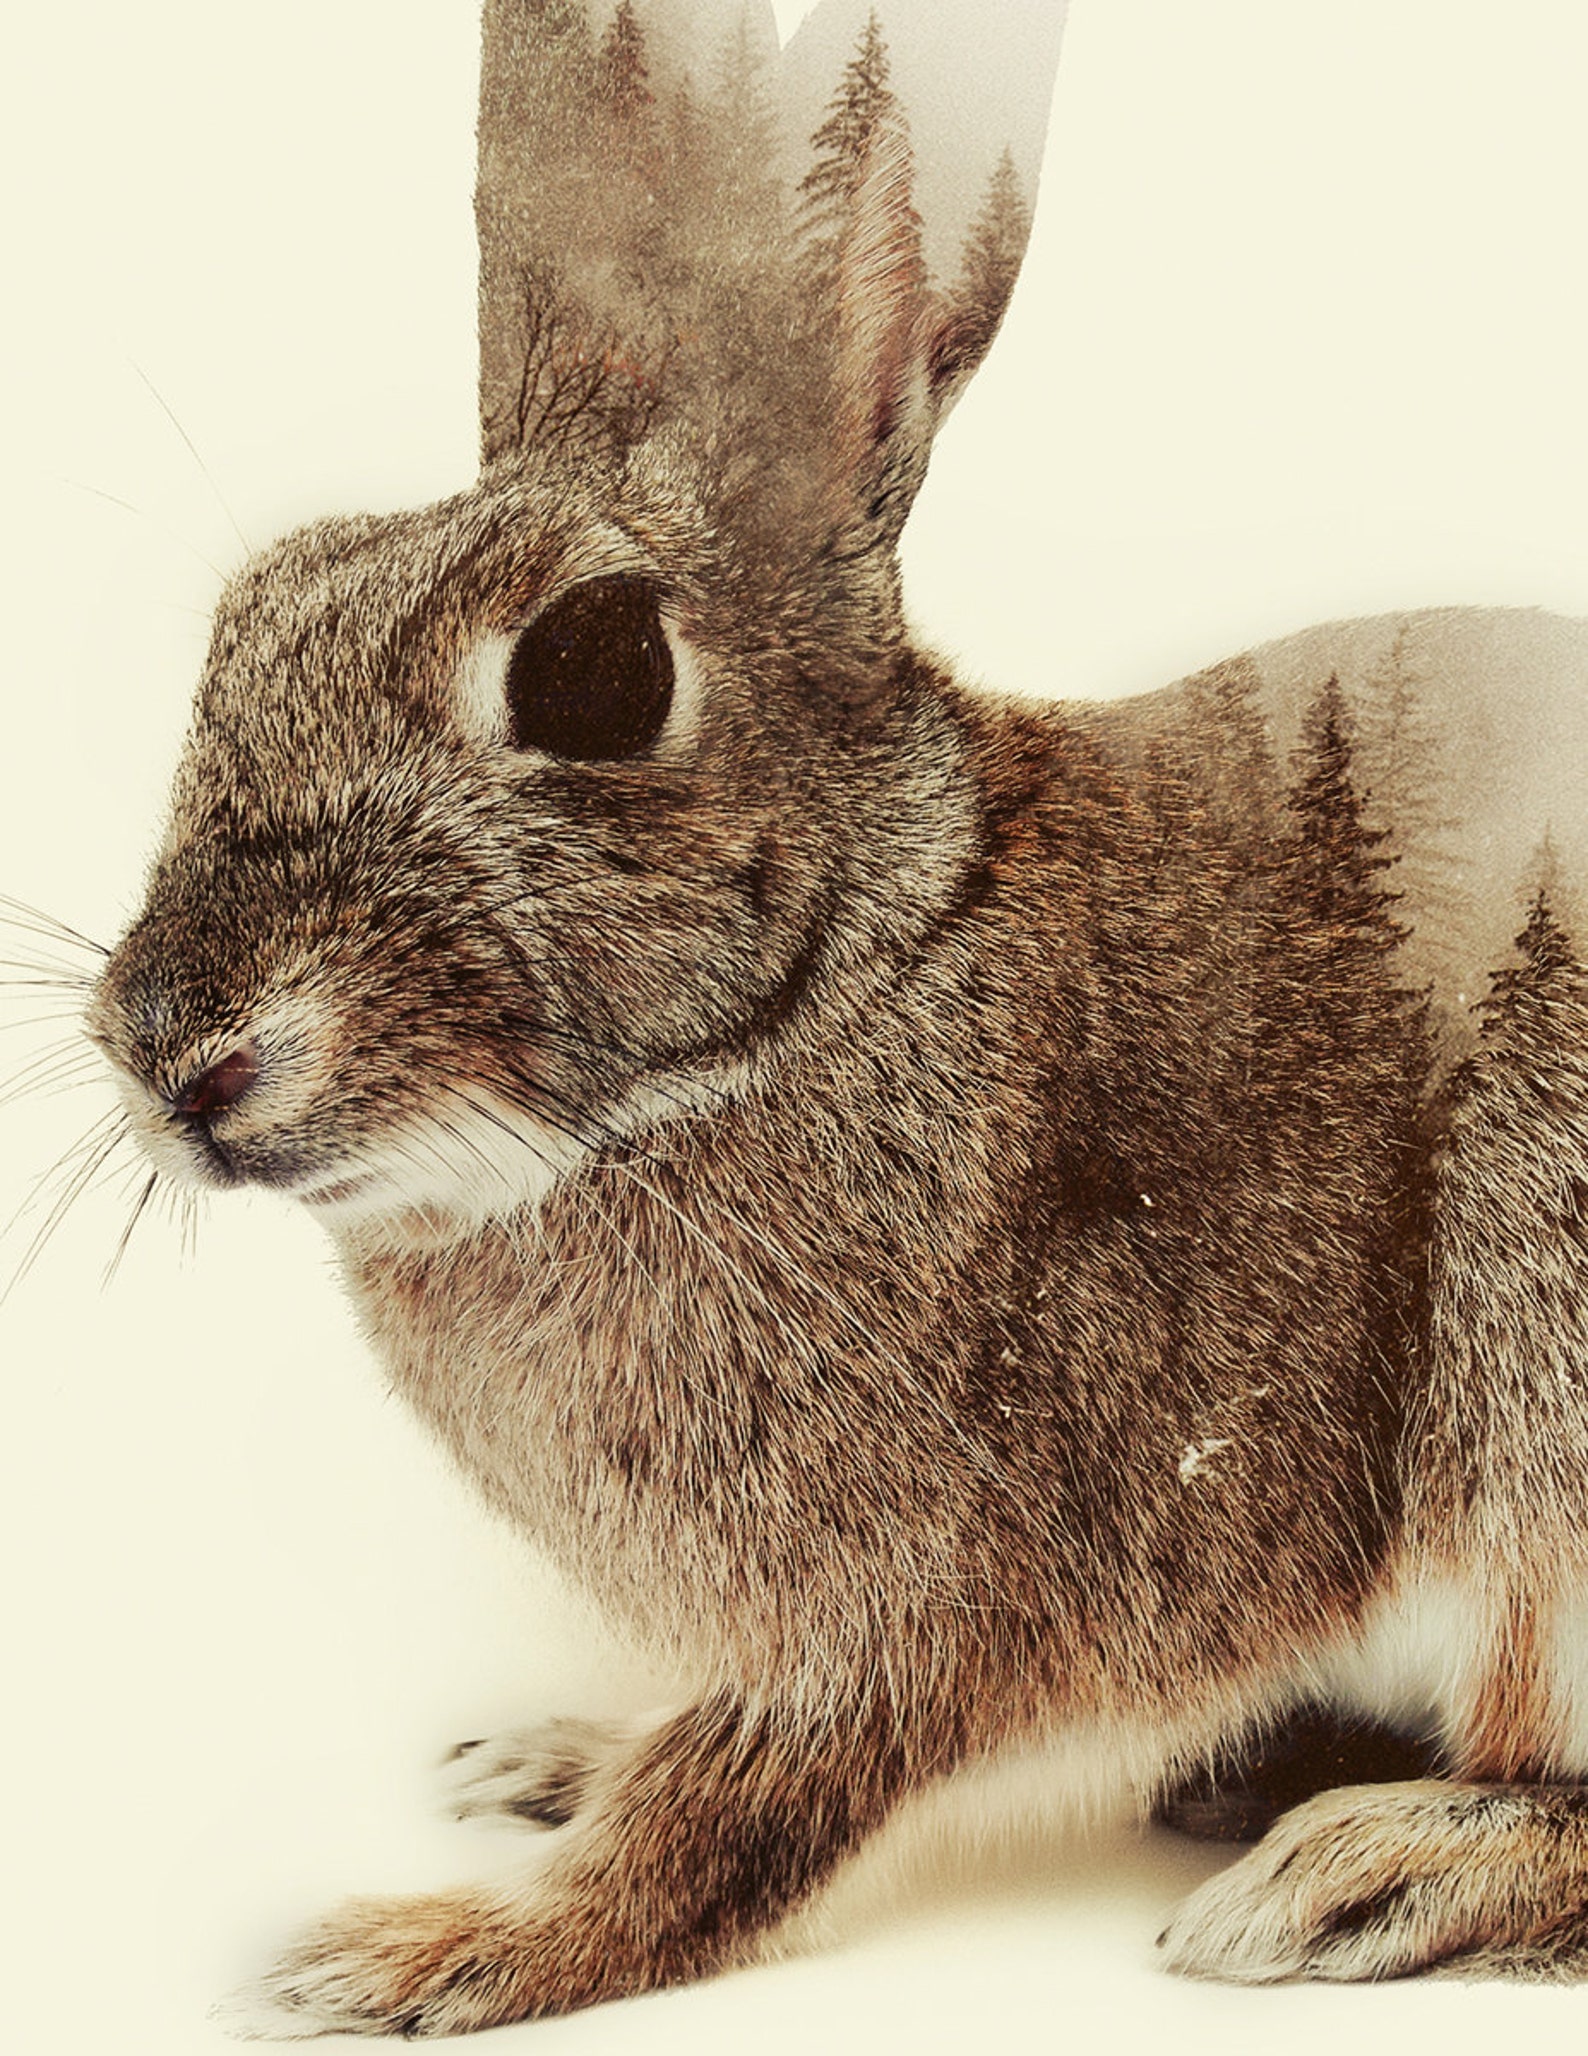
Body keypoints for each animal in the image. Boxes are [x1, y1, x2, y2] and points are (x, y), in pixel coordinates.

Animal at [54, 0, 1588, 2037]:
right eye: (248, 614)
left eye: (597, 669)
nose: (173, 1050)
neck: (841, 992)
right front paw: (547, 1764)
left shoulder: (947, 1585)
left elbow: (734, 1816)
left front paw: (428, 1950)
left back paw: (1363, 1867)